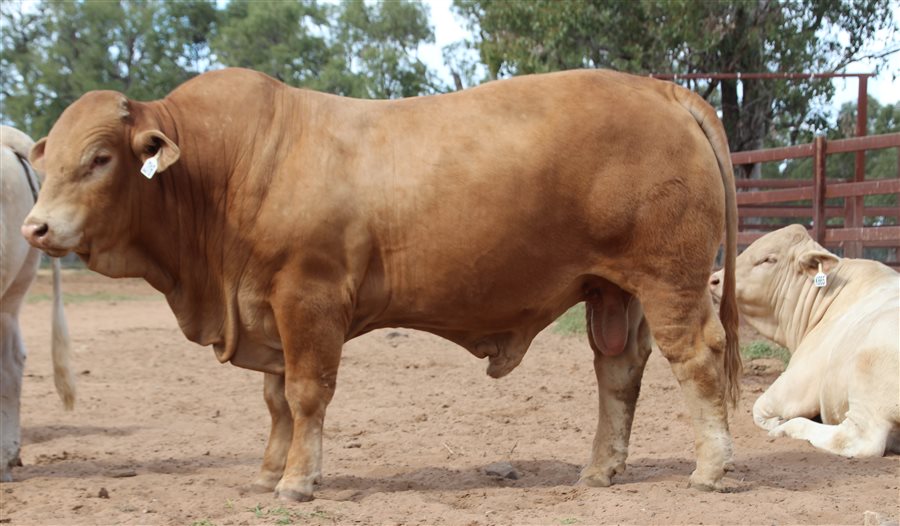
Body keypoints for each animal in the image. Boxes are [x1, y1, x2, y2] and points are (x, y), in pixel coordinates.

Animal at [21, 68, 740, 501]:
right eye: (49, 159)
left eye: (99, 158)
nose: (35, 227)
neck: (228, 168)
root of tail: (662, 90)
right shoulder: (265, 309)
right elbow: (276, 401)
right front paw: (269, 469)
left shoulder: (307, 298)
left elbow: (306, 395)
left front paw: (297, 482)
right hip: (612, 289)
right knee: (618, 371)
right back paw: (599, 470)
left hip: (669, 278)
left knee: (695, 356)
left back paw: (710, 468)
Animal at [710, 224, 899, 457]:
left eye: (769, 259)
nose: (715, 279)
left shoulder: (796, 382)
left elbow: (758, 408)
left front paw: (778, 421)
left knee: (854, 439)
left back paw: (787, 427)